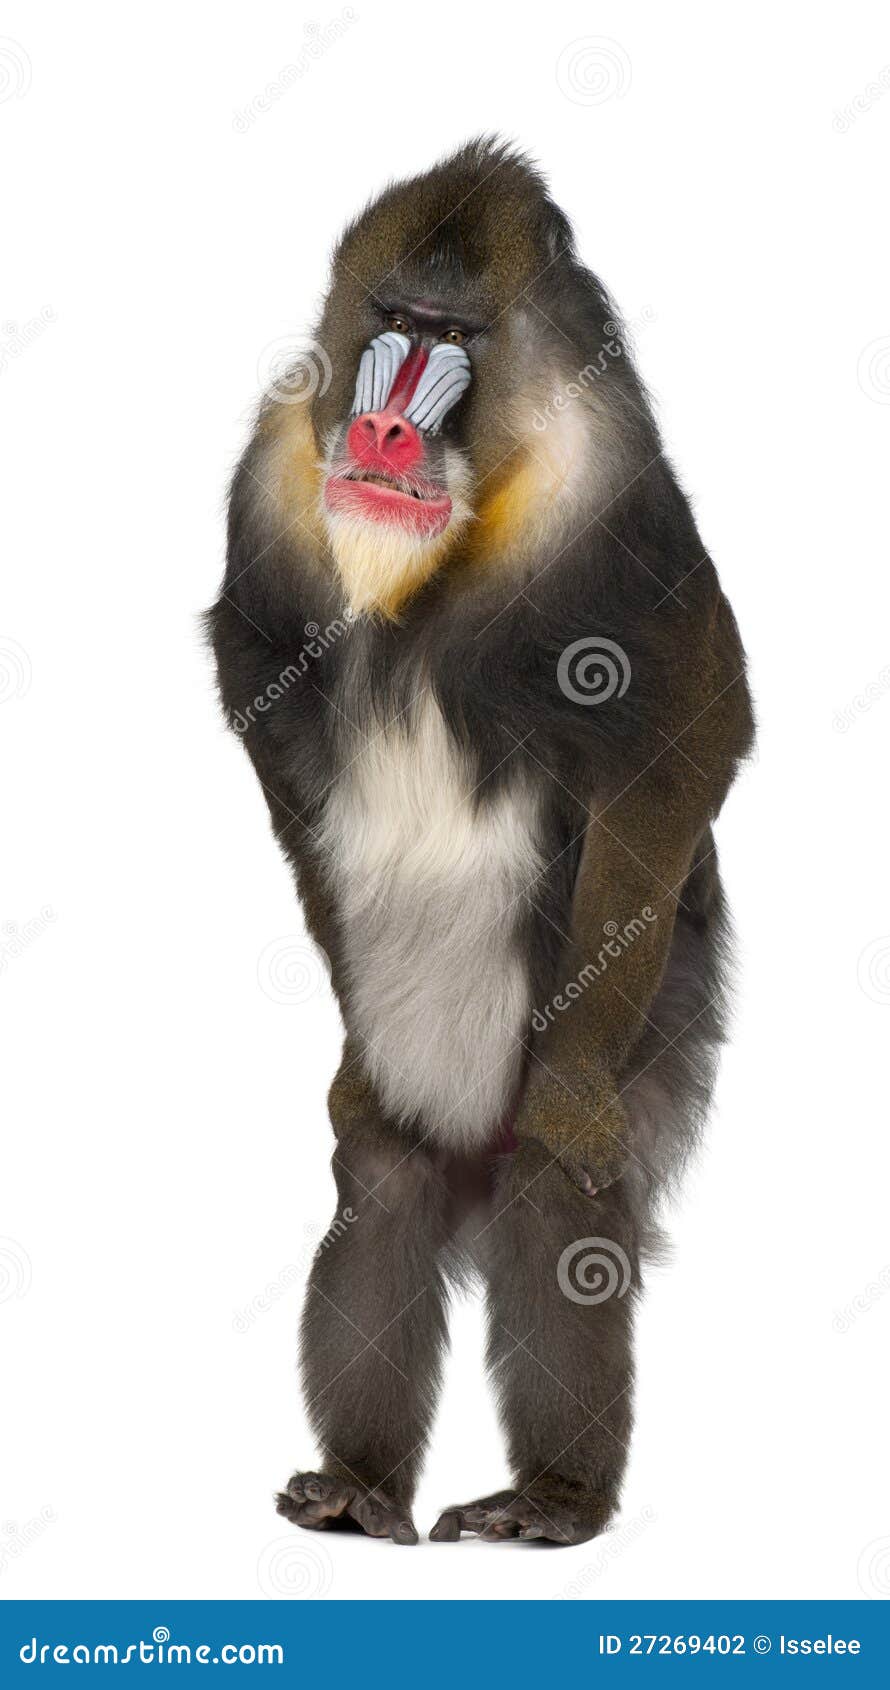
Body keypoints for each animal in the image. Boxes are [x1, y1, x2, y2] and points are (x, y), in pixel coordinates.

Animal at [208, 138, 754, 1547]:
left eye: (453, 339)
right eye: (393, 321)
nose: (384, 427)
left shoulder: (611, 508)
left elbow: (682, 732)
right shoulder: (271, 490)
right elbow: (273, 718)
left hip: (634, 1036)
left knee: (556, 1201)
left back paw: (552, 1500)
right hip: (412, 1114)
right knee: (379, 1190)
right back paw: (354, 1488)